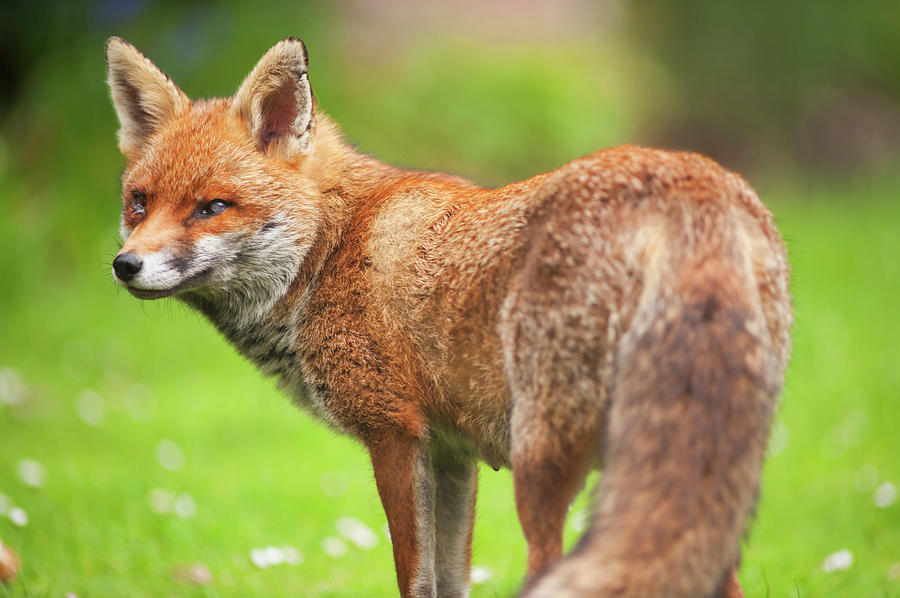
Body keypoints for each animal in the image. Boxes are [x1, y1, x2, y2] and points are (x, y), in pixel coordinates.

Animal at [105, 36, 791, 598]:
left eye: (211, 208)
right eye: (138, 203)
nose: (125, 265)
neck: (329, 248)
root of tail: (692, 183)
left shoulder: (394, 432)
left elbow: (413, 576)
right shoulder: (452, 453)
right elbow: (451, 580)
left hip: (544, 461)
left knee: (552, 566)